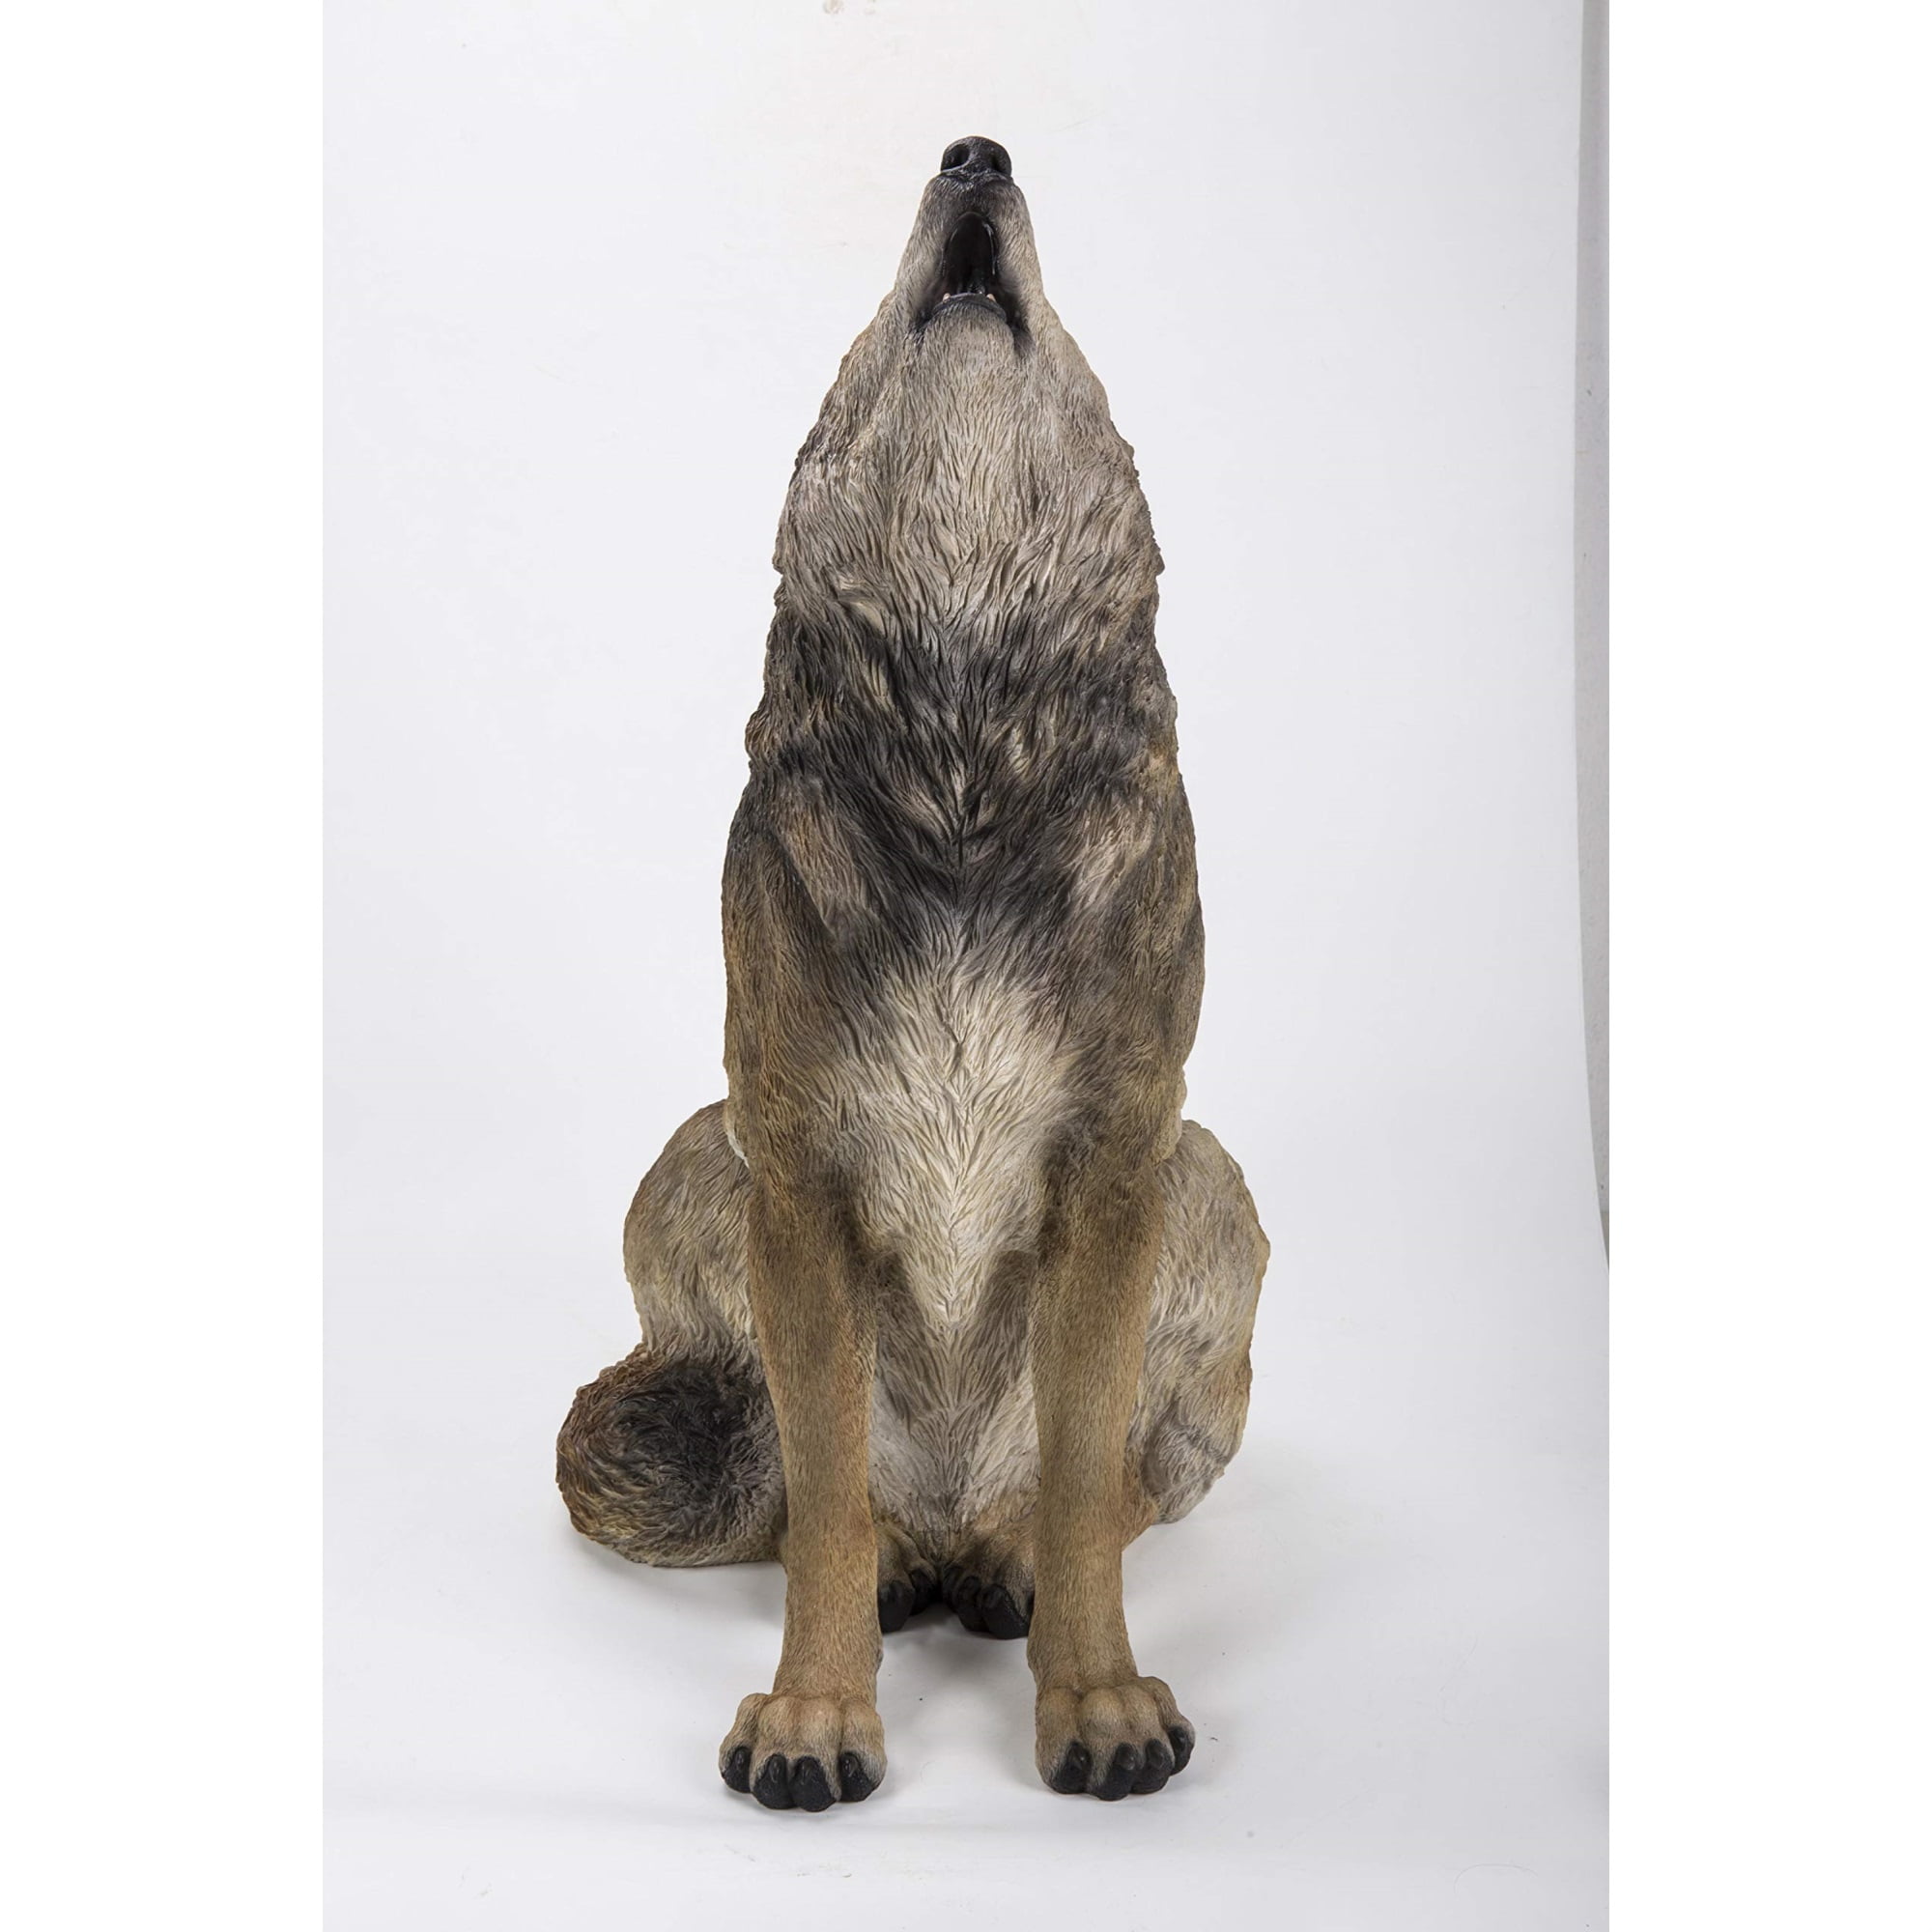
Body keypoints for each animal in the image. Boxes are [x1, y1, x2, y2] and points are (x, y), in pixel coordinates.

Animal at [558, 137, 1268, 1808]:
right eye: (870, 330)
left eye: (1065, 329)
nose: (976, 152)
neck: (963, 761)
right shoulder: (797, 1178)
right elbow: (819, 1501)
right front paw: (816, 1713)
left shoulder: (1120, 1173)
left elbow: (1084, 1484)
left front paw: (1098, 1701)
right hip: (695, 1152)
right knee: (840, 1508)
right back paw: (907, 1564)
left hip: (1214, 1179)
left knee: (1103, 1491)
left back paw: (1001, 1557)